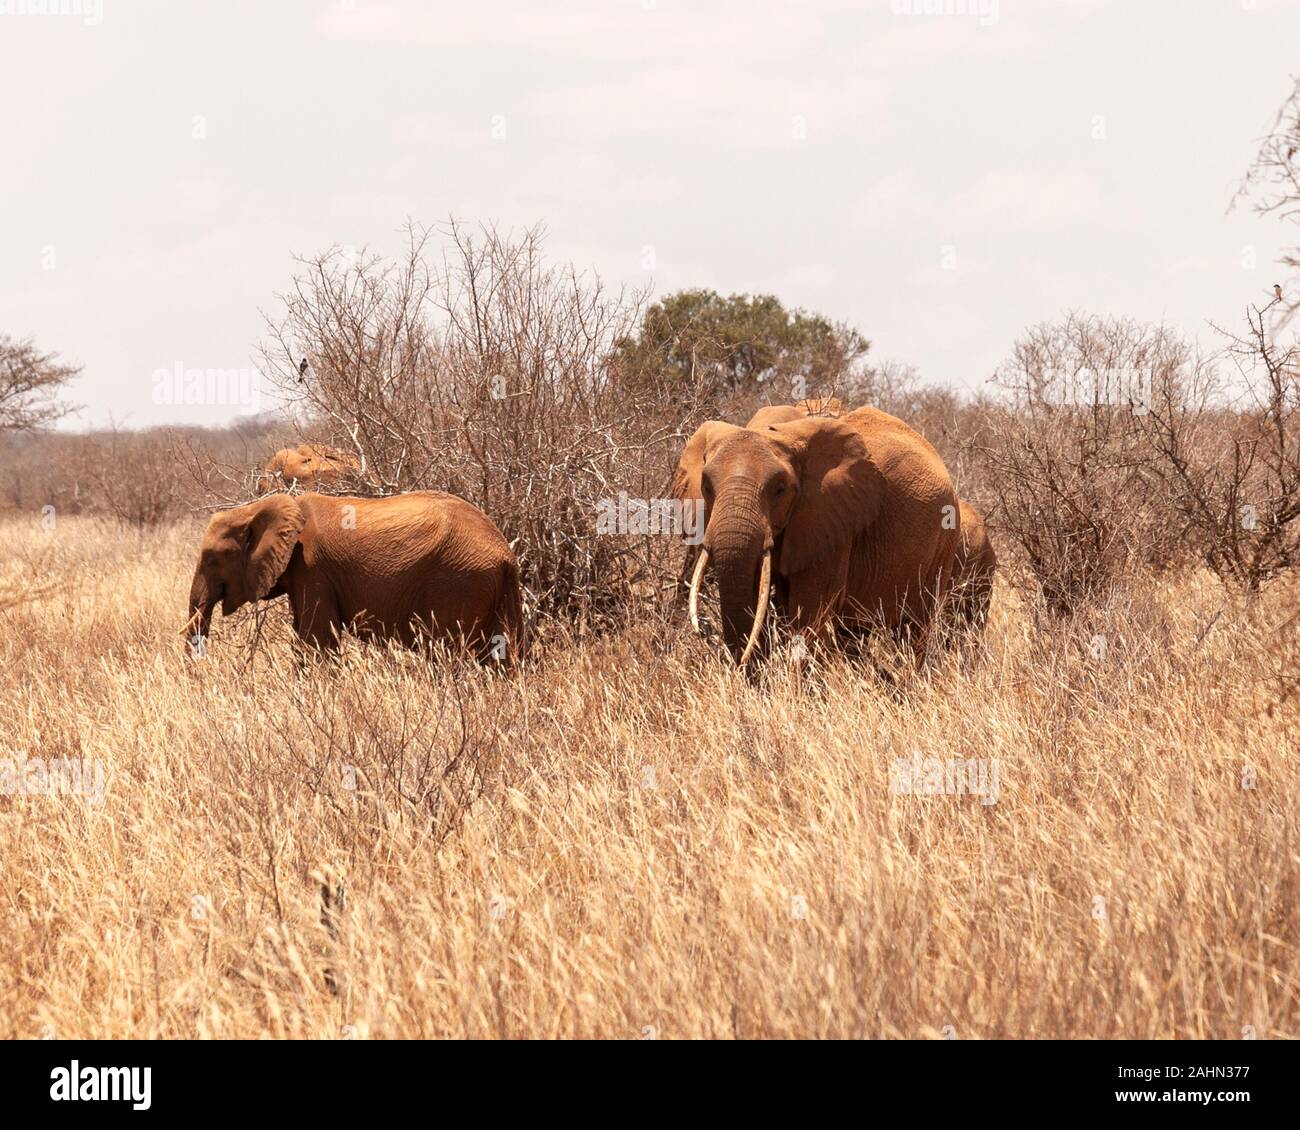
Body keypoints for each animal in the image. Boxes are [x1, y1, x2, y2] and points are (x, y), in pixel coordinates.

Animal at [183, 491, 523, 662]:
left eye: (211, 559)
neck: (256, 508)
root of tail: (505, 553)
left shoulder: (313, 568)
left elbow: (317, 640)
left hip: (458, 582)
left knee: (446, 653)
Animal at [672, 400, 960, 666]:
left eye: (779, 489)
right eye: (706, 487)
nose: (703, 629)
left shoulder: (831, 519)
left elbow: (809, 612)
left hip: (943, 544)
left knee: (913, 630)